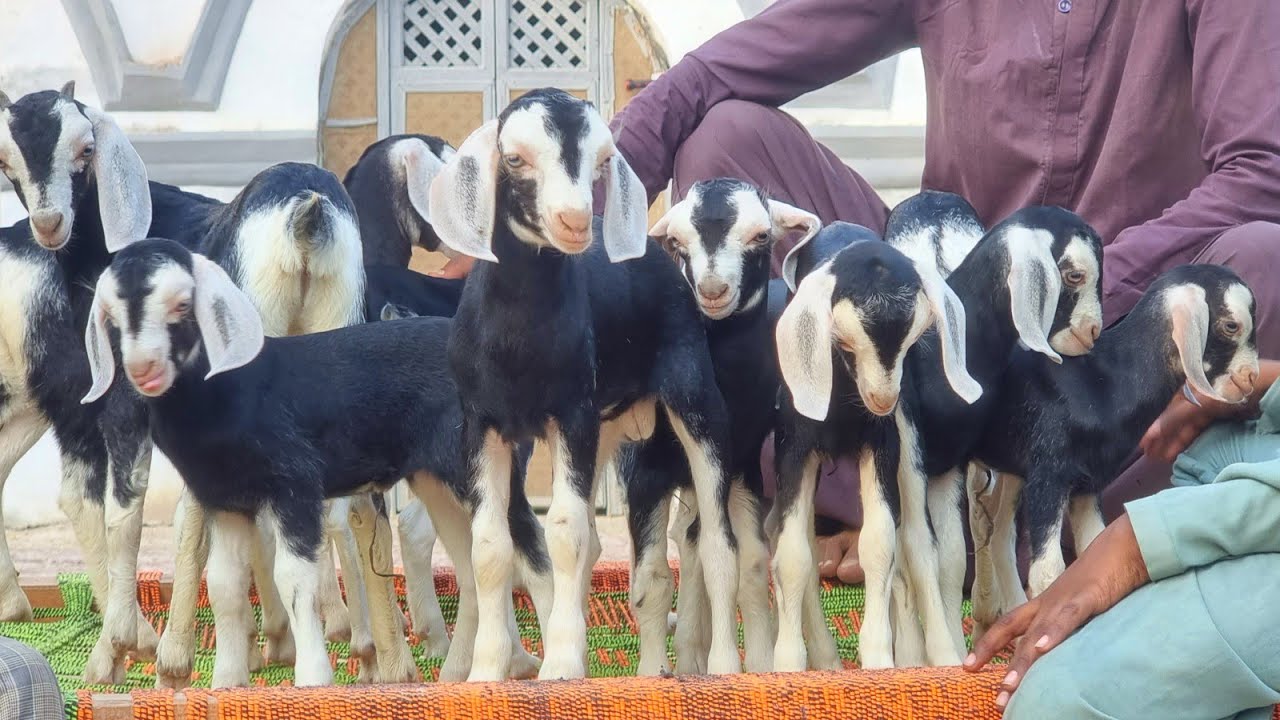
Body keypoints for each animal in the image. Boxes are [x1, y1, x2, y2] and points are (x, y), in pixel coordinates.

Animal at [429, 89, 745, 681]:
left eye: (601, 163)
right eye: (513, 158)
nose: (575, 220)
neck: (519, 339)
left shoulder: (571, 414)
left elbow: (566, 533)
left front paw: (560, 666)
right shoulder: (480, 424)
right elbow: (491, 546)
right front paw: (486, 672)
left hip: (694, 400)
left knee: (716, 543)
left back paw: (723, 666)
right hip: (603, 430)